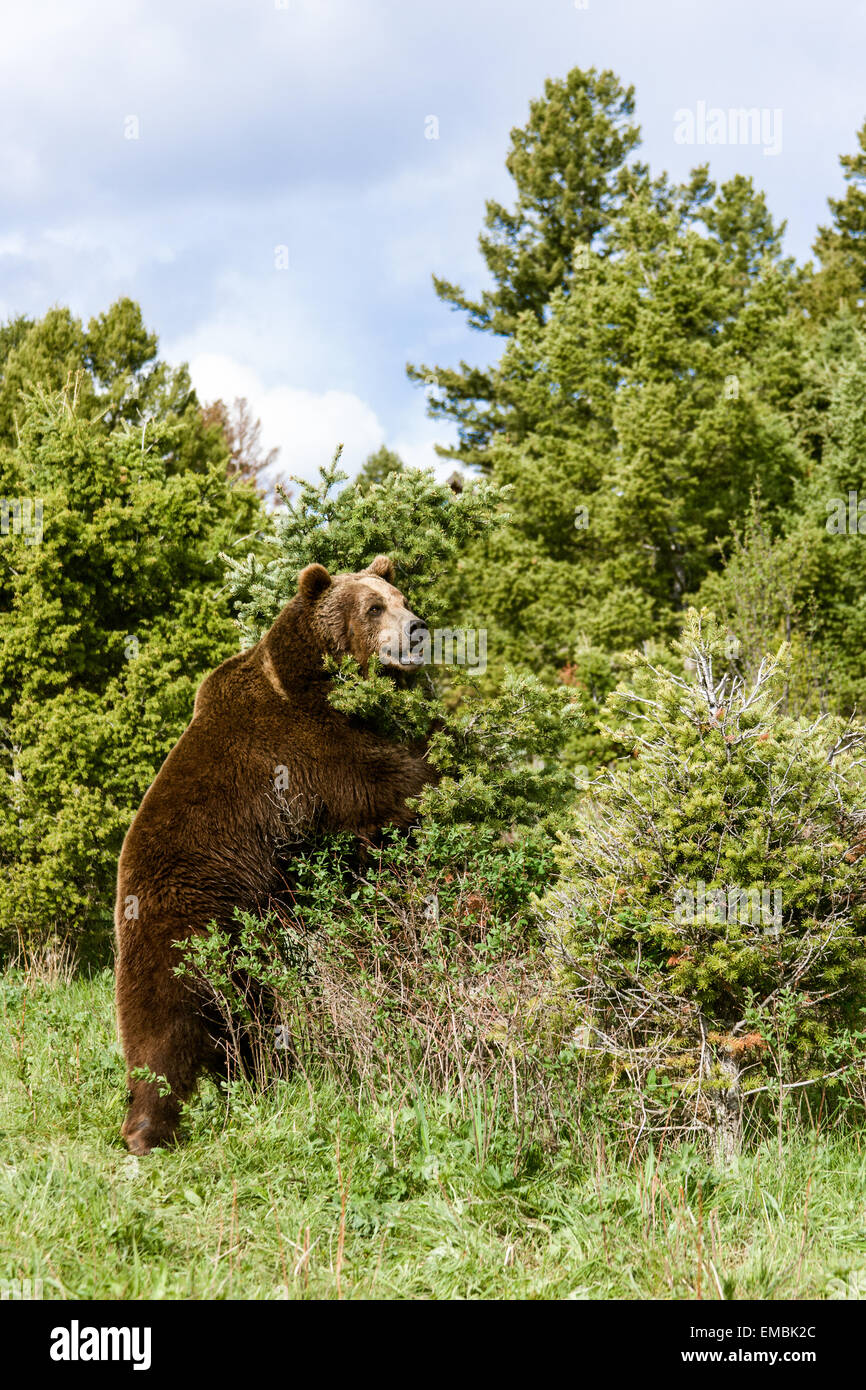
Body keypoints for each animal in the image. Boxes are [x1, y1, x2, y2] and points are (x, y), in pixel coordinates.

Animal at [115, 555, 435, 1154]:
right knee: (161, 1030)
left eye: (402, 598)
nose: (418, 629)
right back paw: (148, 1128)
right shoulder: (306, 747)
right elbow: (383, 783)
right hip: (183, 927)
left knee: (253, 1023)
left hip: (243, 952)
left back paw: (265, 1080)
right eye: (373, 607)